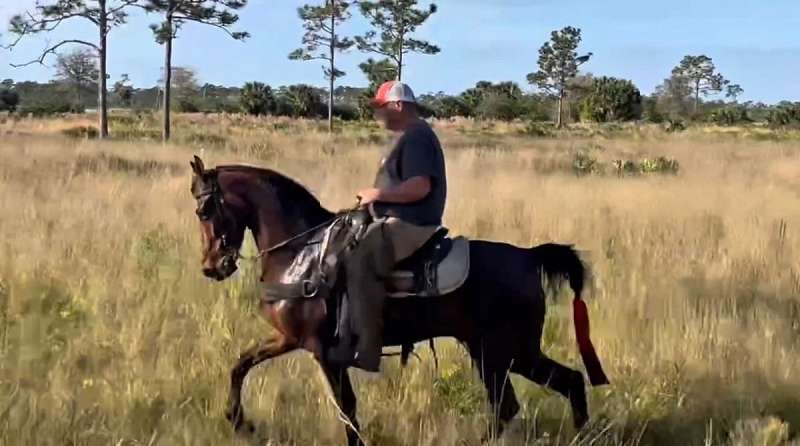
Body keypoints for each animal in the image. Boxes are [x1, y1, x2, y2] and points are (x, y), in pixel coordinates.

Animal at [188, 156, 609, 445]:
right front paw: (238, 420)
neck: (301, 250)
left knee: (519, 402)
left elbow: (347, 407)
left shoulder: (321, 350)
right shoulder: (288, 339)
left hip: (501, 352)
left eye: (204, 209)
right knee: (562, 385)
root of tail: (529, 257)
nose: (211, 267)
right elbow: (240, 364)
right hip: (503, 352)